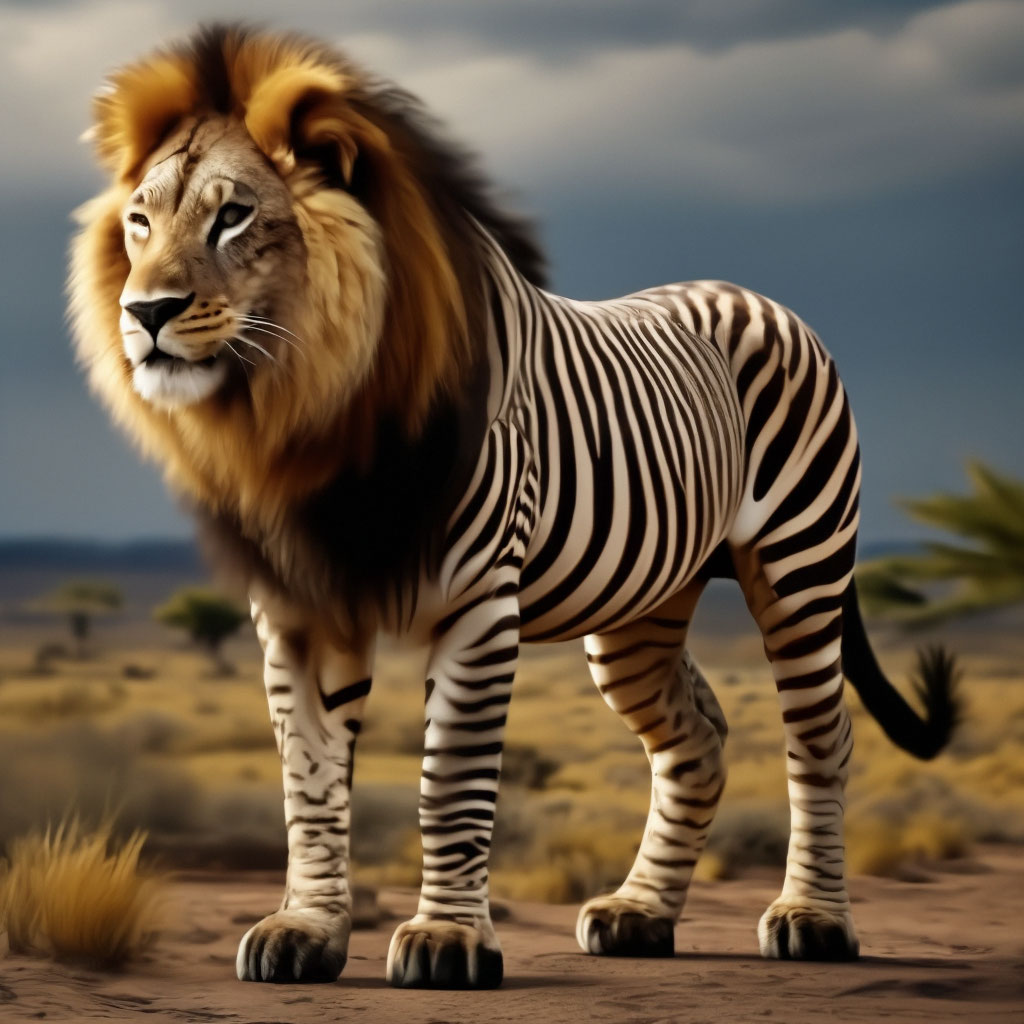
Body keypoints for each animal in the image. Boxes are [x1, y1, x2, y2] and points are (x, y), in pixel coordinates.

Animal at [241, 230, 956, 987]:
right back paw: (640, 912)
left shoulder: (478, 585)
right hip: (646, 606)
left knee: (822, 733)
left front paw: (445, 942)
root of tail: (754, 297)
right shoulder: (296, 607)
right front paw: (303, 928)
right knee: (697, 740)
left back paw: (812, 920)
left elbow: (451, 776)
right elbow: (309, 770)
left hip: (802, 557)